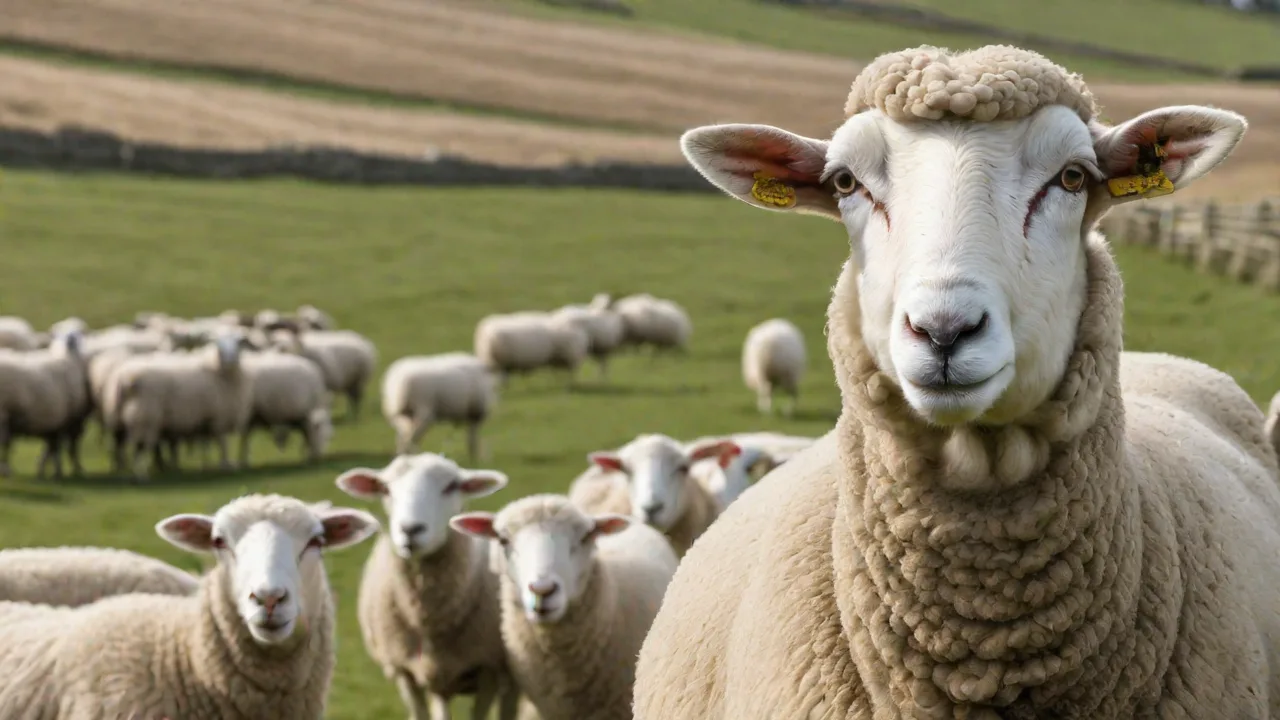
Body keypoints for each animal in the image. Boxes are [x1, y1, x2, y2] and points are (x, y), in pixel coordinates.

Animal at [335, 453, 520, 720]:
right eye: (385, 488)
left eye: (452, 486)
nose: (410, 529)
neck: (425, 614)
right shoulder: (403, 670)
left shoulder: (488, 667)